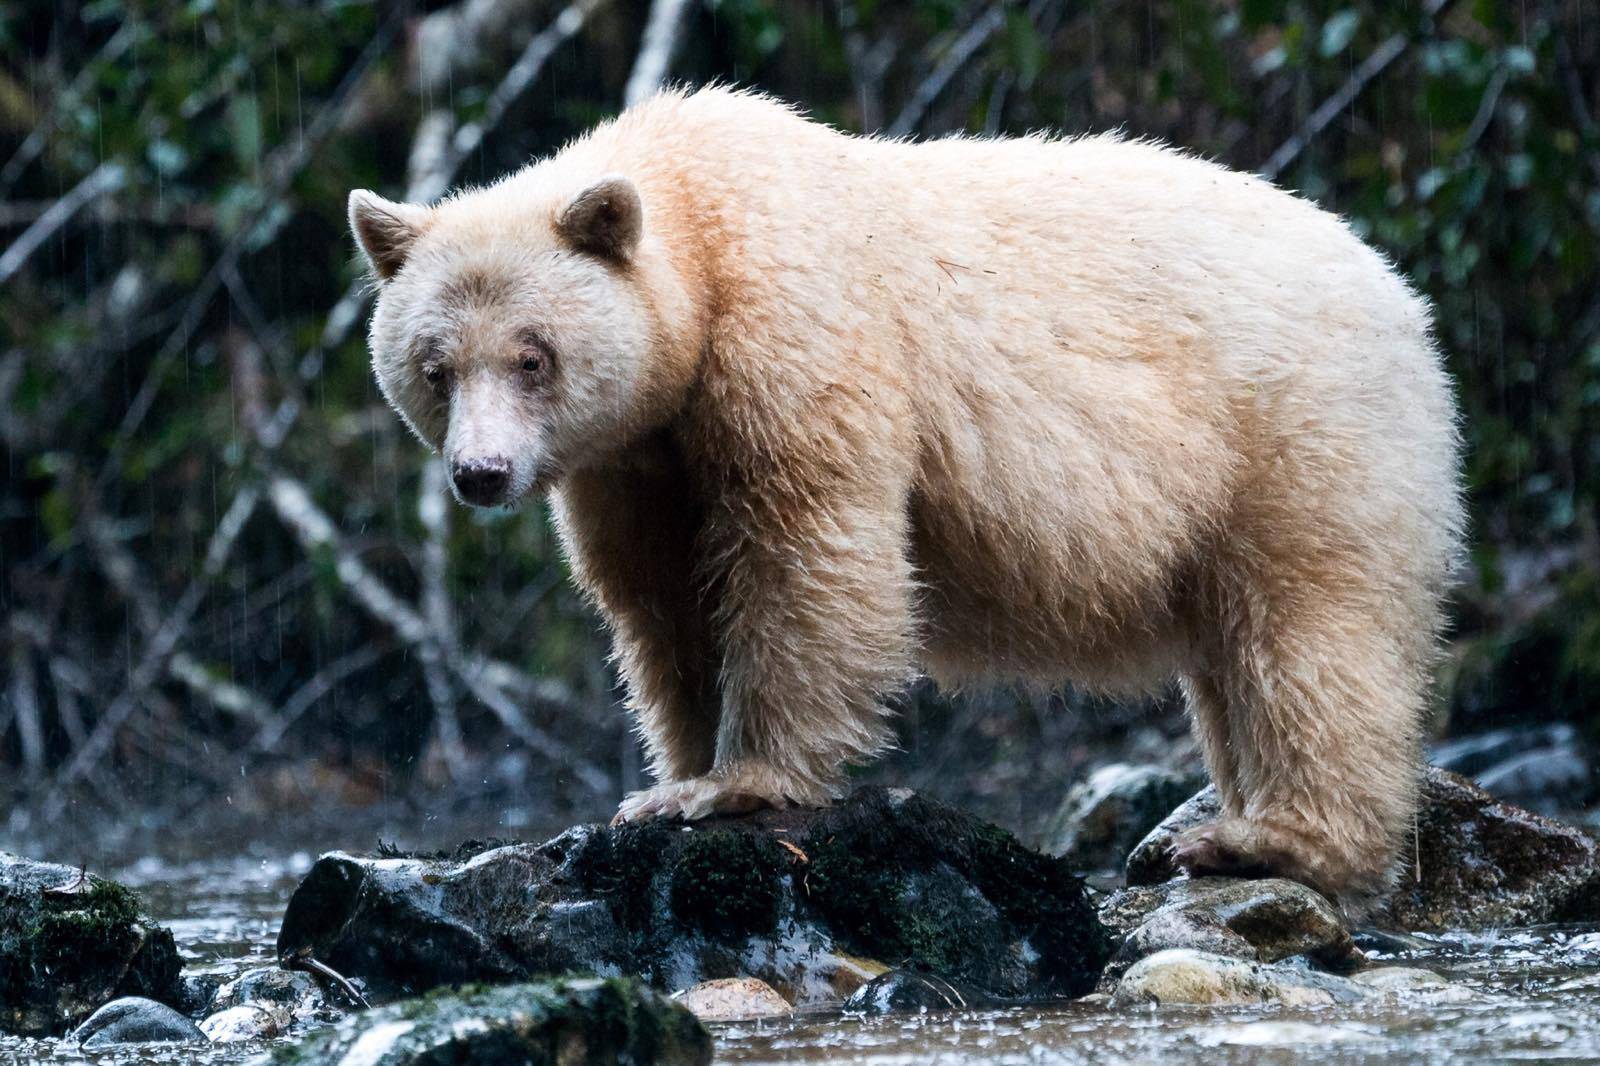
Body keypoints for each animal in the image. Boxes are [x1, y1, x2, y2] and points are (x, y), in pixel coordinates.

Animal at [348, 87, 1463, 907]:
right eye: (434, 366)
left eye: (533, 356)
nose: (481, 474)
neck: (703, 227)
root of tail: (1403, 298)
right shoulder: (633, 458)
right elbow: (663, 598)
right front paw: (671, 778)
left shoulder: (791, 338)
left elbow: (804, 546)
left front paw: (735, 783)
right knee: (1240, 651)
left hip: (1295, 434)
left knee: (1309, 628)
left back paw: (1269, 840)